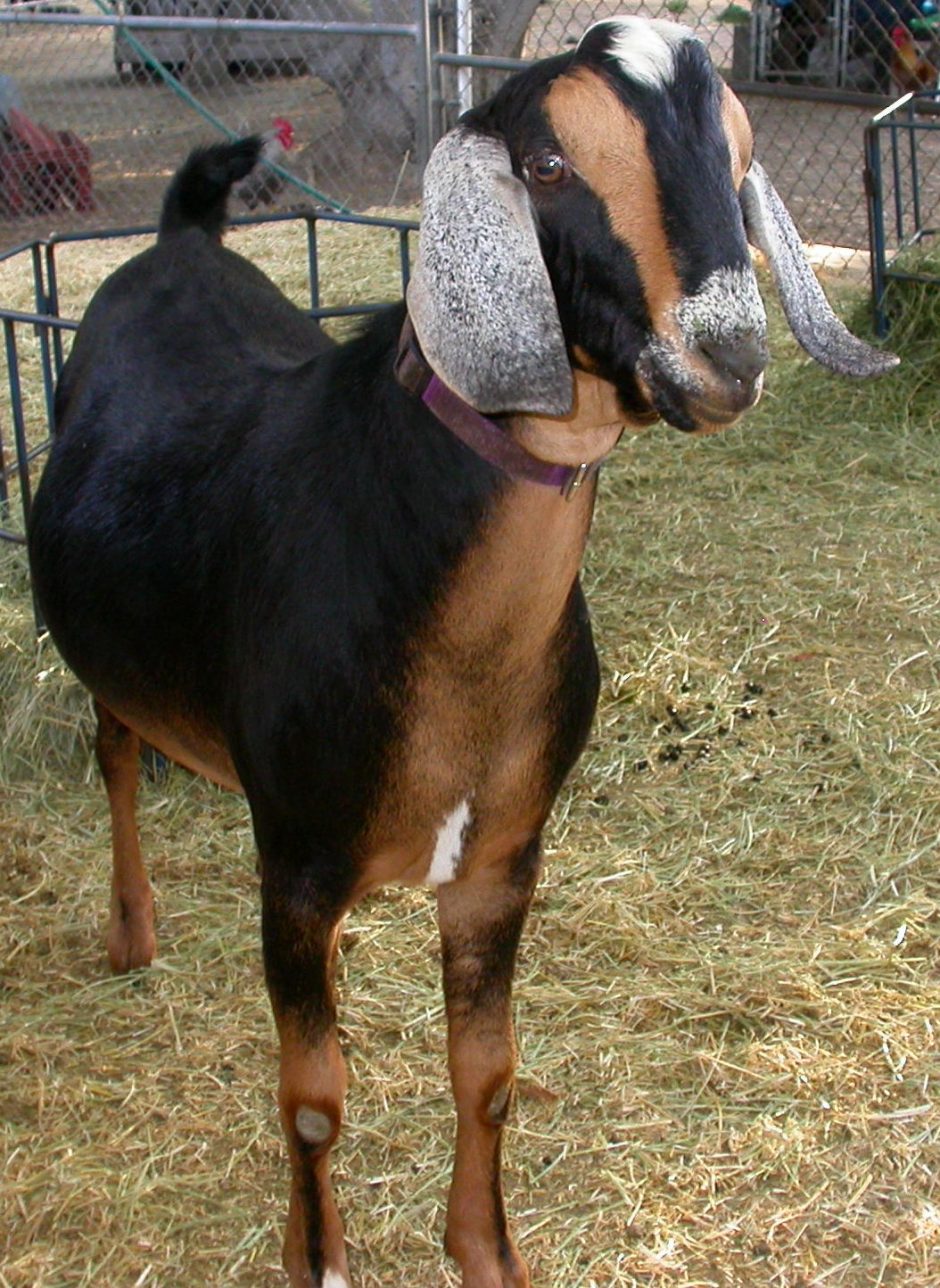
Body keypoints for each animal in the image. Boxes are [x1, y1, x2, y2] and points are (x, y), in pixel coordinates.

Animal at [27, 17, 895, 1288]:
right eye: (547, 165)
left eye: (738, 152)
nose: (728, 355)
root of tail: (182, 238)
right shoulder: (295, 865)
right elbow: (312, 1098)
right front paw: (318, 1257)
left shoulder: (500, 860)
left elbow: (486, 1073)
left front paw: (485, 1250)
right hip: (110, 656)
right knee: (116, 752)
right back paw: (131, 929)